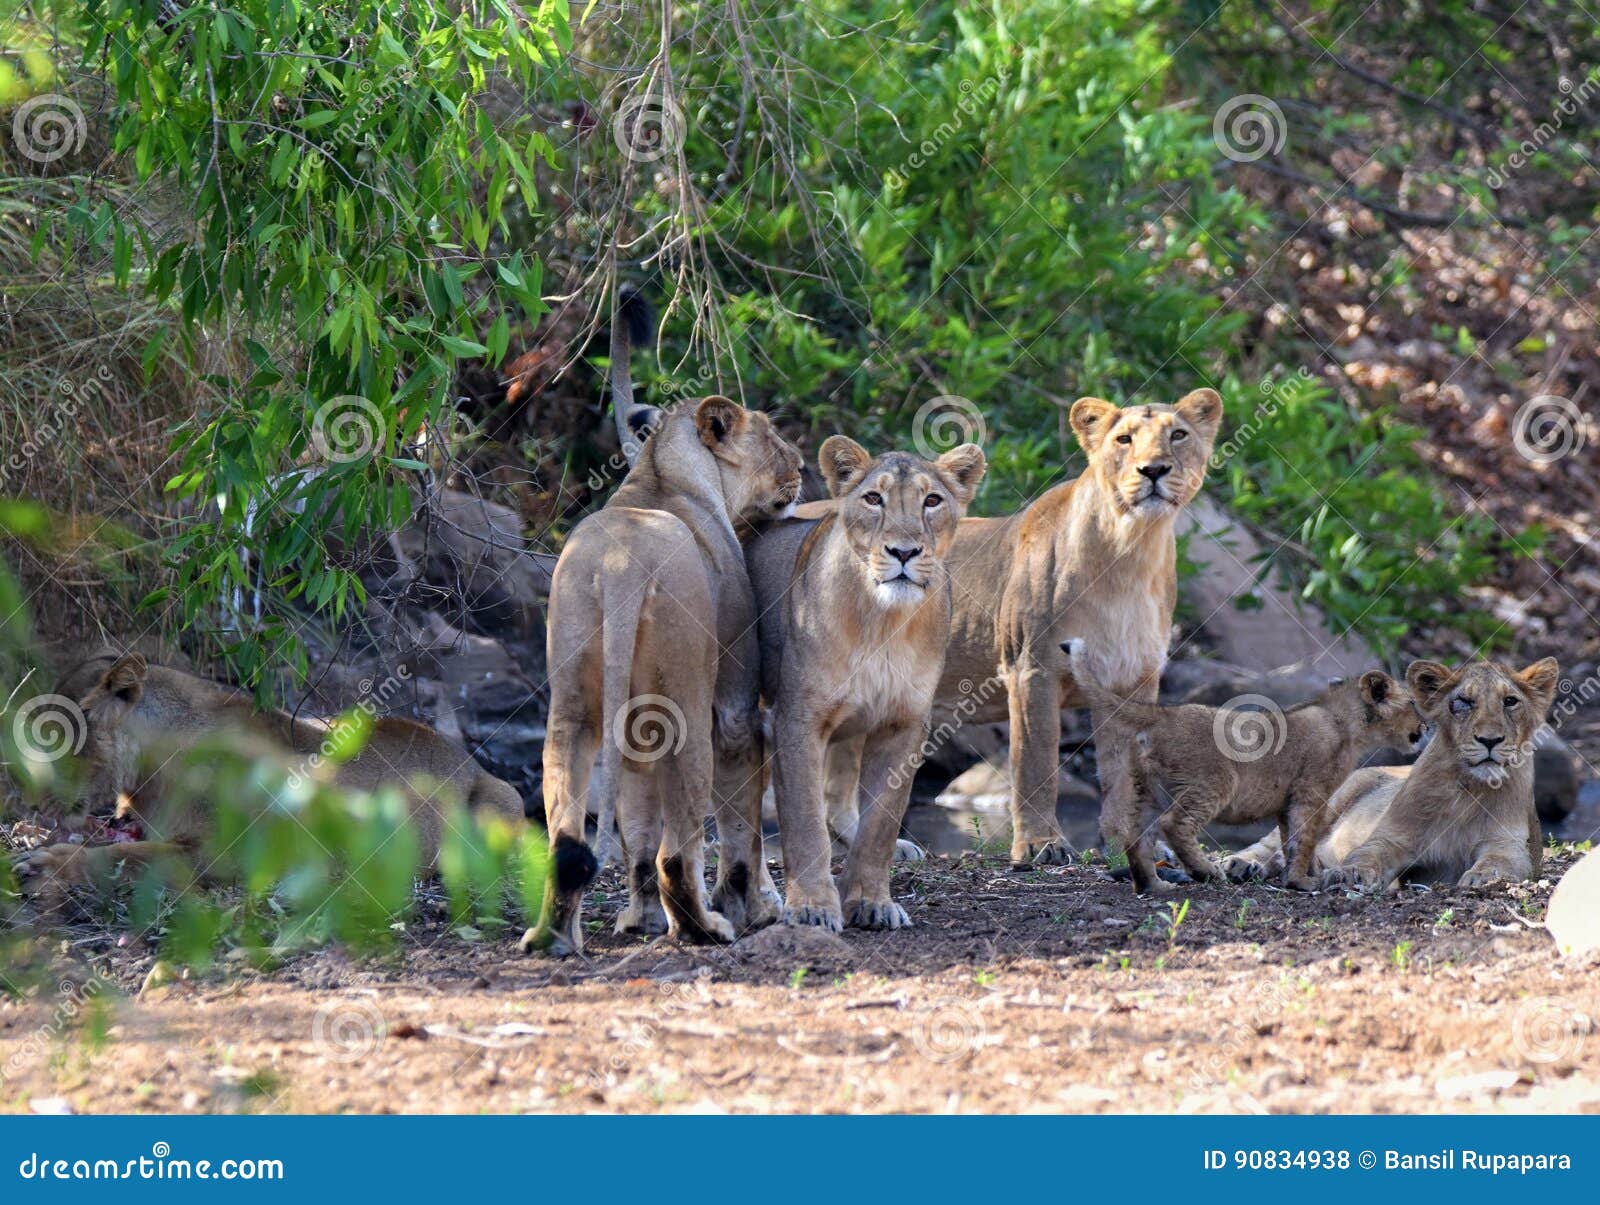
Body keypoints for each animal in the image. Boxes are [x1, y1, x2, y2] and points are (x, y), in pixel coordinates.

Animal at [11, 652, 525, 893]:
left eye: (57, 739)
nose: (30, 803)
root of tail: (468, 760)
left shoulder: (224, 855)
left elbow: (122, 857)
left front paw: (42, 865)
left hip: (502, 801)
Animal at [522, 395, 803, 957]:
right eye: (771, 436)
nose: (803, 469)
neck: (664, 473)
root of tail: (619, 566)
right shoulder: (736, 706)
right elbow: (741, 827)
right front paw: (753, 909)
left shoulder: (636, 727)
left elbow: (638, 824)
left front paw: (642, 921)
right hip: (688, 707)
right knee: (676, 853)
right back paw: (704, 928)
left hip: (572, 710)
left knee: (567, 836)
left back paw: (551, 937)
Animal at [747, 436, 986, 932]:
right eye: (874, 499)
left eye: (932, 501)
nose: (904, 552)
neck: (883, 622)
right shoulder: (797, 718)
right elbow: (803, 821)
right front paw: (813, 908)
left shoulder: (903, 723)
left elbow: (882, 822)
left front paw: (870, 901)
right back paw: (761, 894)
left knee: (838, 799)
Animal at [1064, 640, 1425, 891]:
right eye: (1413, 705)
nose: (1426, 726)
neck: (1343, 720)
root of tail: (1163, 713)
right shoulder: (1310, 791)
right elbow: (1305, 838)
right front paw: (1302, 882)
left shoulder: (1288, 801)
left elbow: (1292, 841)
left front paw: (1302, 876)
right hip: (1214, 783)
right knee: (1175, 825)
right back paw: (1206, 872)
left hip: (1151, 791)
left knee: (1138, 837)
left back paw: (1154, 886)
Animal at [1222, 657, 1559, 890]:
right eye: (1463, 701)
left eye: (1510, 701)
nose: (1490, 740)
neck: (1467, 789)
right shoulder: (1391, 837)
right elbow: (1368, 854)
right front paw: (1348, 873)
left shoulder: (1509, 843)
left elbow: (1501, 861)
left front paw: (1484, 876)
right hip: (1333, 796)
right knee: (1274, 843)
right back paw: (1241, 864)